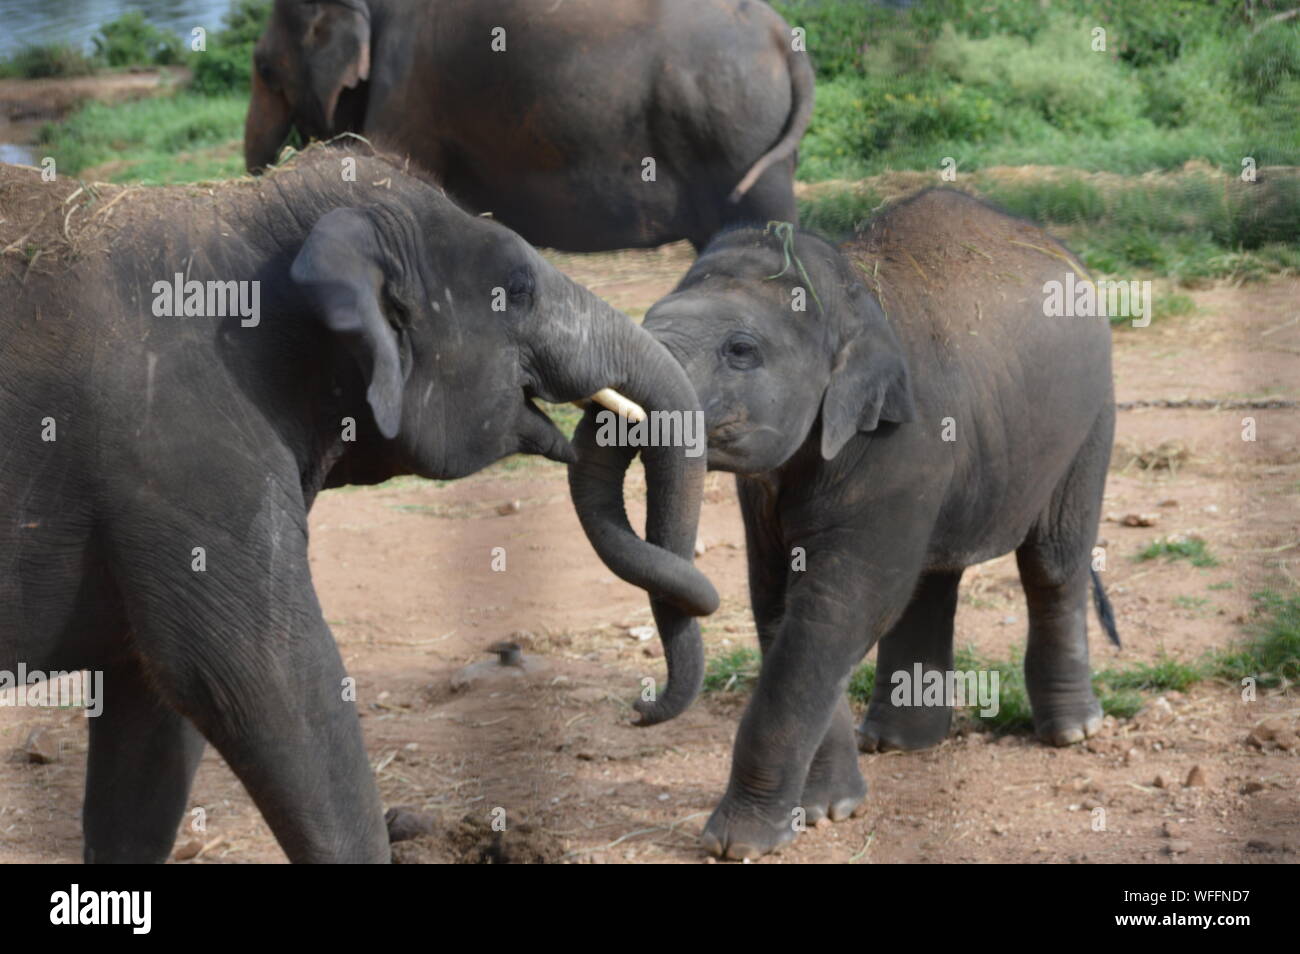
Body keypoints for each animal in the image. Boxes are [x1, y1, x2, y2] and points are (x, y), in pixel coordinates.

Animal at [0, 144, 714, 863]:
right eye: (517, 290)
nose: (640, 708)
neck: (246, 216)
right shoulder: (188, 459)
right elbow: (258, 681)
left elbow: (152, 711)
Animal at [570, 189, 1122, 860]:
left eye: (740, 350)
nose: (636, 709)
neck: (849, 292)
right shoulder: (769, 489)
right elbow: (779, 604)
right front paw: (826, 810)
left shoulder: (901, 444)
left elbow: (834, 610)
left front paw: (739, 842)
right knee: (931, 580)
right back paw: (897, 743)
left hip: (1091, 418)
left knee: (1052, 561)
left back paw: (1071, 732)